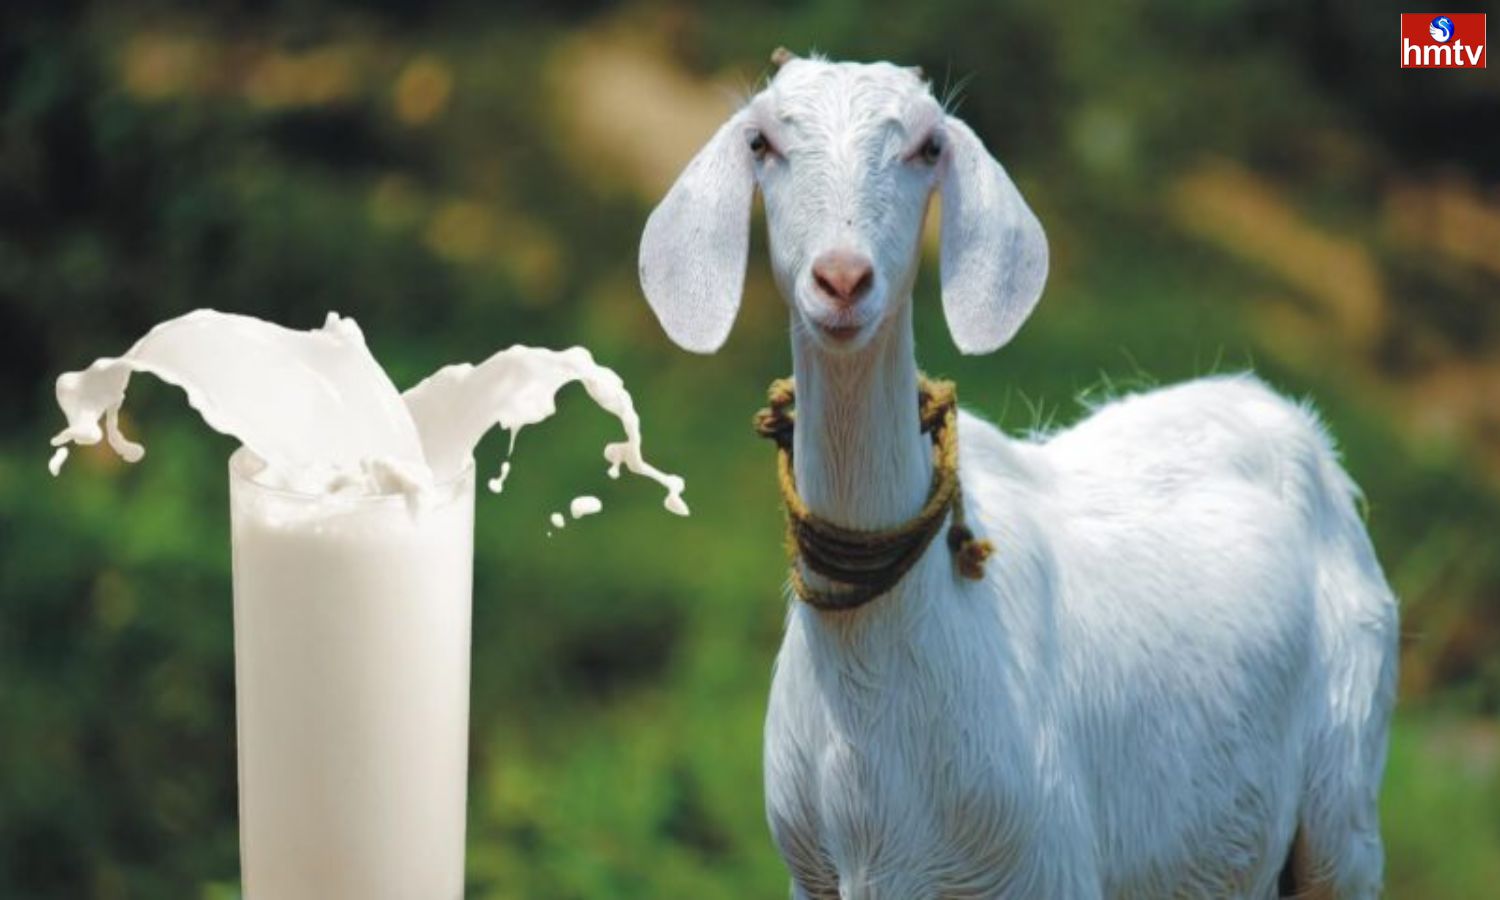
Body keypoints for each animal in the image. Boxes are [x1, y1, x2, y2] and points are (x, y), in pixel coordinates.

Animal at [638, 51, 1397, 900]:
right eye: (762, 142)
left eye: (928, 147)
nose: (842, 281)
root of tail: (1290, 419)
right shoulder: (814, 874)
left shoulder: (1047, 865)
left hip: (1346, 796)